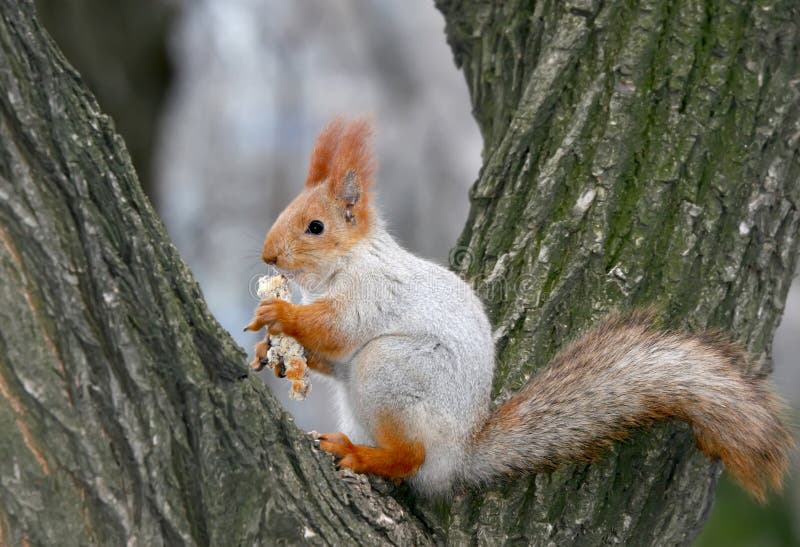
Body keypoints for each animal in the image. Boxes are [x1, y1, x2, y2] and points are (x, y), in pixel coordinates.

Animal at [245, 117, 791, 500]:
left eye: (315, 227)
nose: (268, 256)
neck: (347, 262)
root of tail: (459, 454)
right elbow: (328, 356)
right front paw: (269, 351)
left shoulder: (371, 293)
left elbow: (338, 329)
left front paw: (280, 318)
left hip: (393, 370)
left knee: (409, 456)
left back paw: (361, 456)